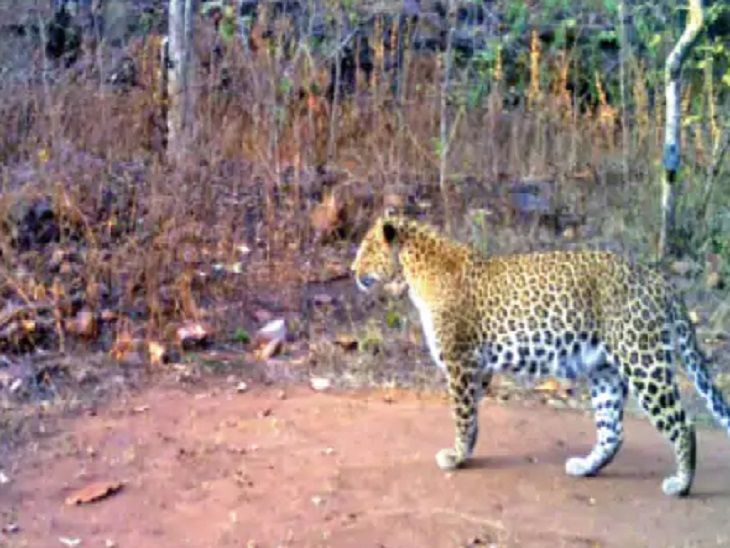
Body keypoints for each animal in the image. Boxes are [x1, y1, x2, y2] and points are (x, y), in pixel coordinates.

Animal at [350, 212, 730, 497]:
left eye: (367, 250)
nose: (353, 272)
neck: (415, 271)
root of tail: (659, 280)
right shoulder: (478, 367)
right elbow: (472, 418)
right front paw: (465, 454)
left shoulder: (460, 362)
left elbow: (462, 415)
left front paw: (455, 457)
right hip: (605, 370)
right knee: (613, 432)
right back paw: (585, 467)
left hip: (642, 359)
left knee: (682, 423)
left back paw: (681, 484)